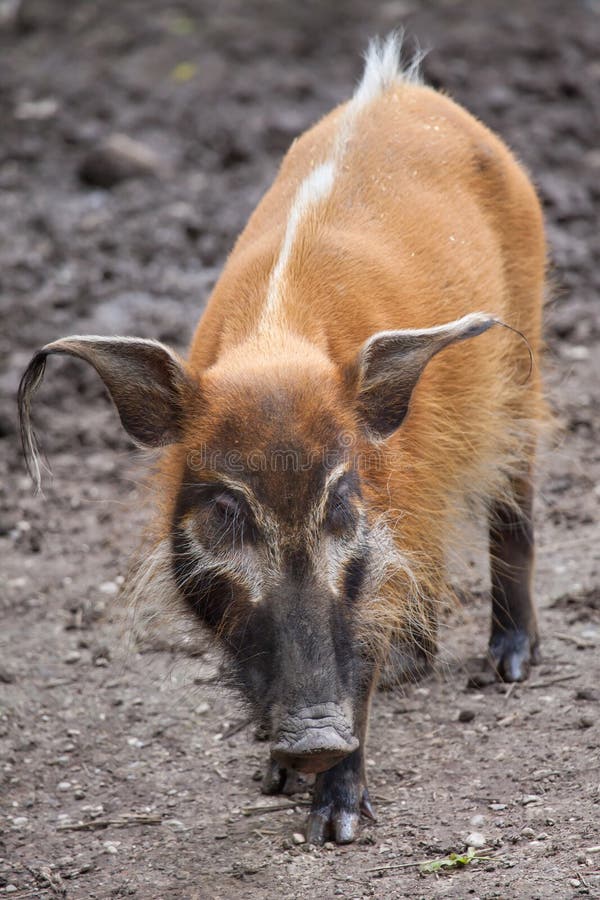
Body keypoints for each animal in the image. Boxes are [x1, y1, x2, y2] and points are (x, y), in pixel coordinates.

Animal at [18, 34, 546, 844]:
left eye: (341, 504)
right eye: (227, 509)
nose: (313, 738)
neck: (275, 346)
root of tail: (399, 84)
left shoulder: (374, 542)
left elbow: (364, 645)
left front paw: (338, 826)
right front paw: (273, 781)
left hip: (523, 364)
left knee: (512, 503)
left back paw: (510, 665)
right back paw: (415, 669)